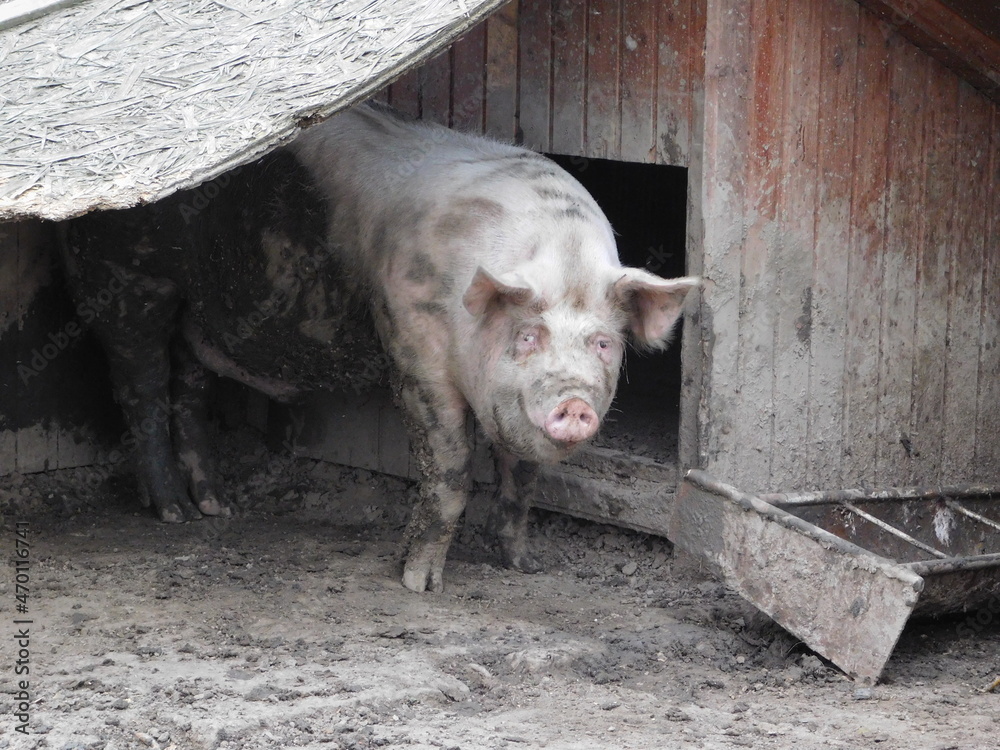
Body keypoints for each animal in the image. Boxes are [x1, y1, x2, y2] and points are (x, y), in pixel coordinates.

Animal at [62, 103, 699, 592]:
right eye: (527, 335)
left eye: (603, 342)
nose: (574, 404)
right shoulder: (412, 344)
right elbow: (450, 469)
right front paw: (420, 584)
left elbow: (521, 479)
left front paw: (524, 565)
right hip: (129, 280)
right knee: (142, 388)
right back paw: (172, 513)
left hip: (199, 311)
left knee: (189, 383)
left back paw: (217, 506)